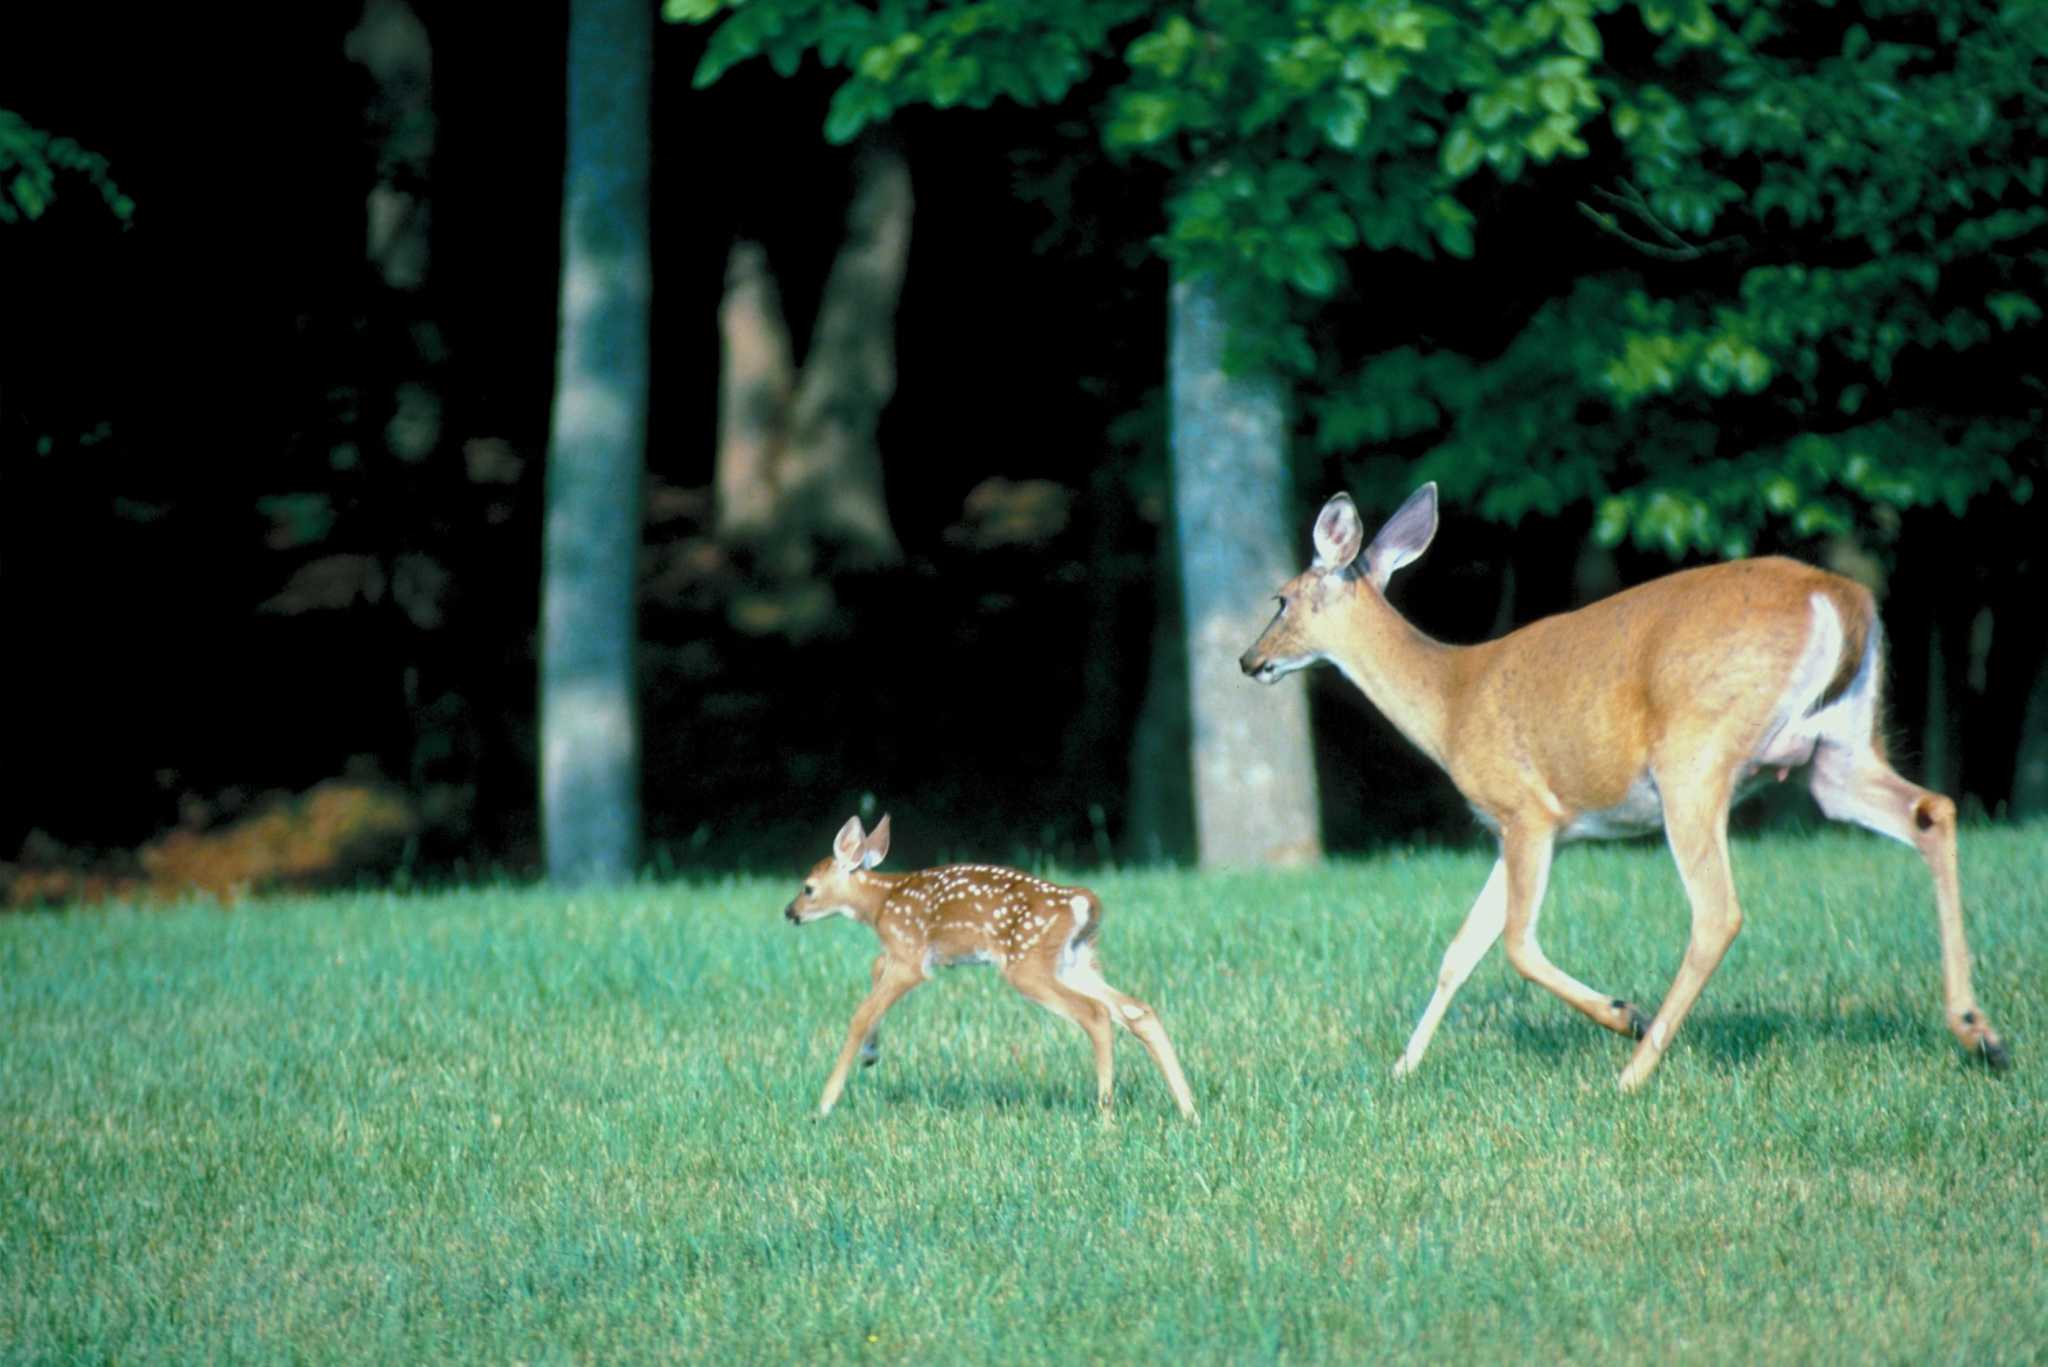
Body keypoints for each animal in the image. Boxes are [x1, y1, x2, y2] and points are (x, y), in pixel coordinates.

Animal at [782, 814, 1199, 1121]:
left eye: (808, 887)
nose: (790, 912)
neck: (881, 904)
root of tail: (1082, 903)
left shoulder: (910, 953)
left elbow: (861, 1012)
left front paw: (824, 1104)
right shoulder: (908, 954)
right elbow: (874, 969)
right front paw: (871, 1053)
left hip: (1027, 964)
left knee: (1095, 1013)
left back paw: (1107, 1116)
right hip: (1074, 962)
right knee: (1138, 1010)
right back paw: (1189, 1111)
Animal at [1240, 482, 2010, 1091]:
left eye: (1280, 599)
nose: (1249, 660)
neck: (1451, 702)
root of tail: (1841, 595)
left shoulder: (1529, 810)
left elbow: (1515, 943)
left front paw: (1623, 1013)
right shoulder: (1511, 829)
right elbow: (1459, 950)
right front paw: (1403, 1067)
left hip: (1695, 755)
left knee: (1718, 912)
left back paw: (1635, 1068)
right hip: (1836, 751)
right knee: (1931, 810)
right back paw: (1980, 1032)